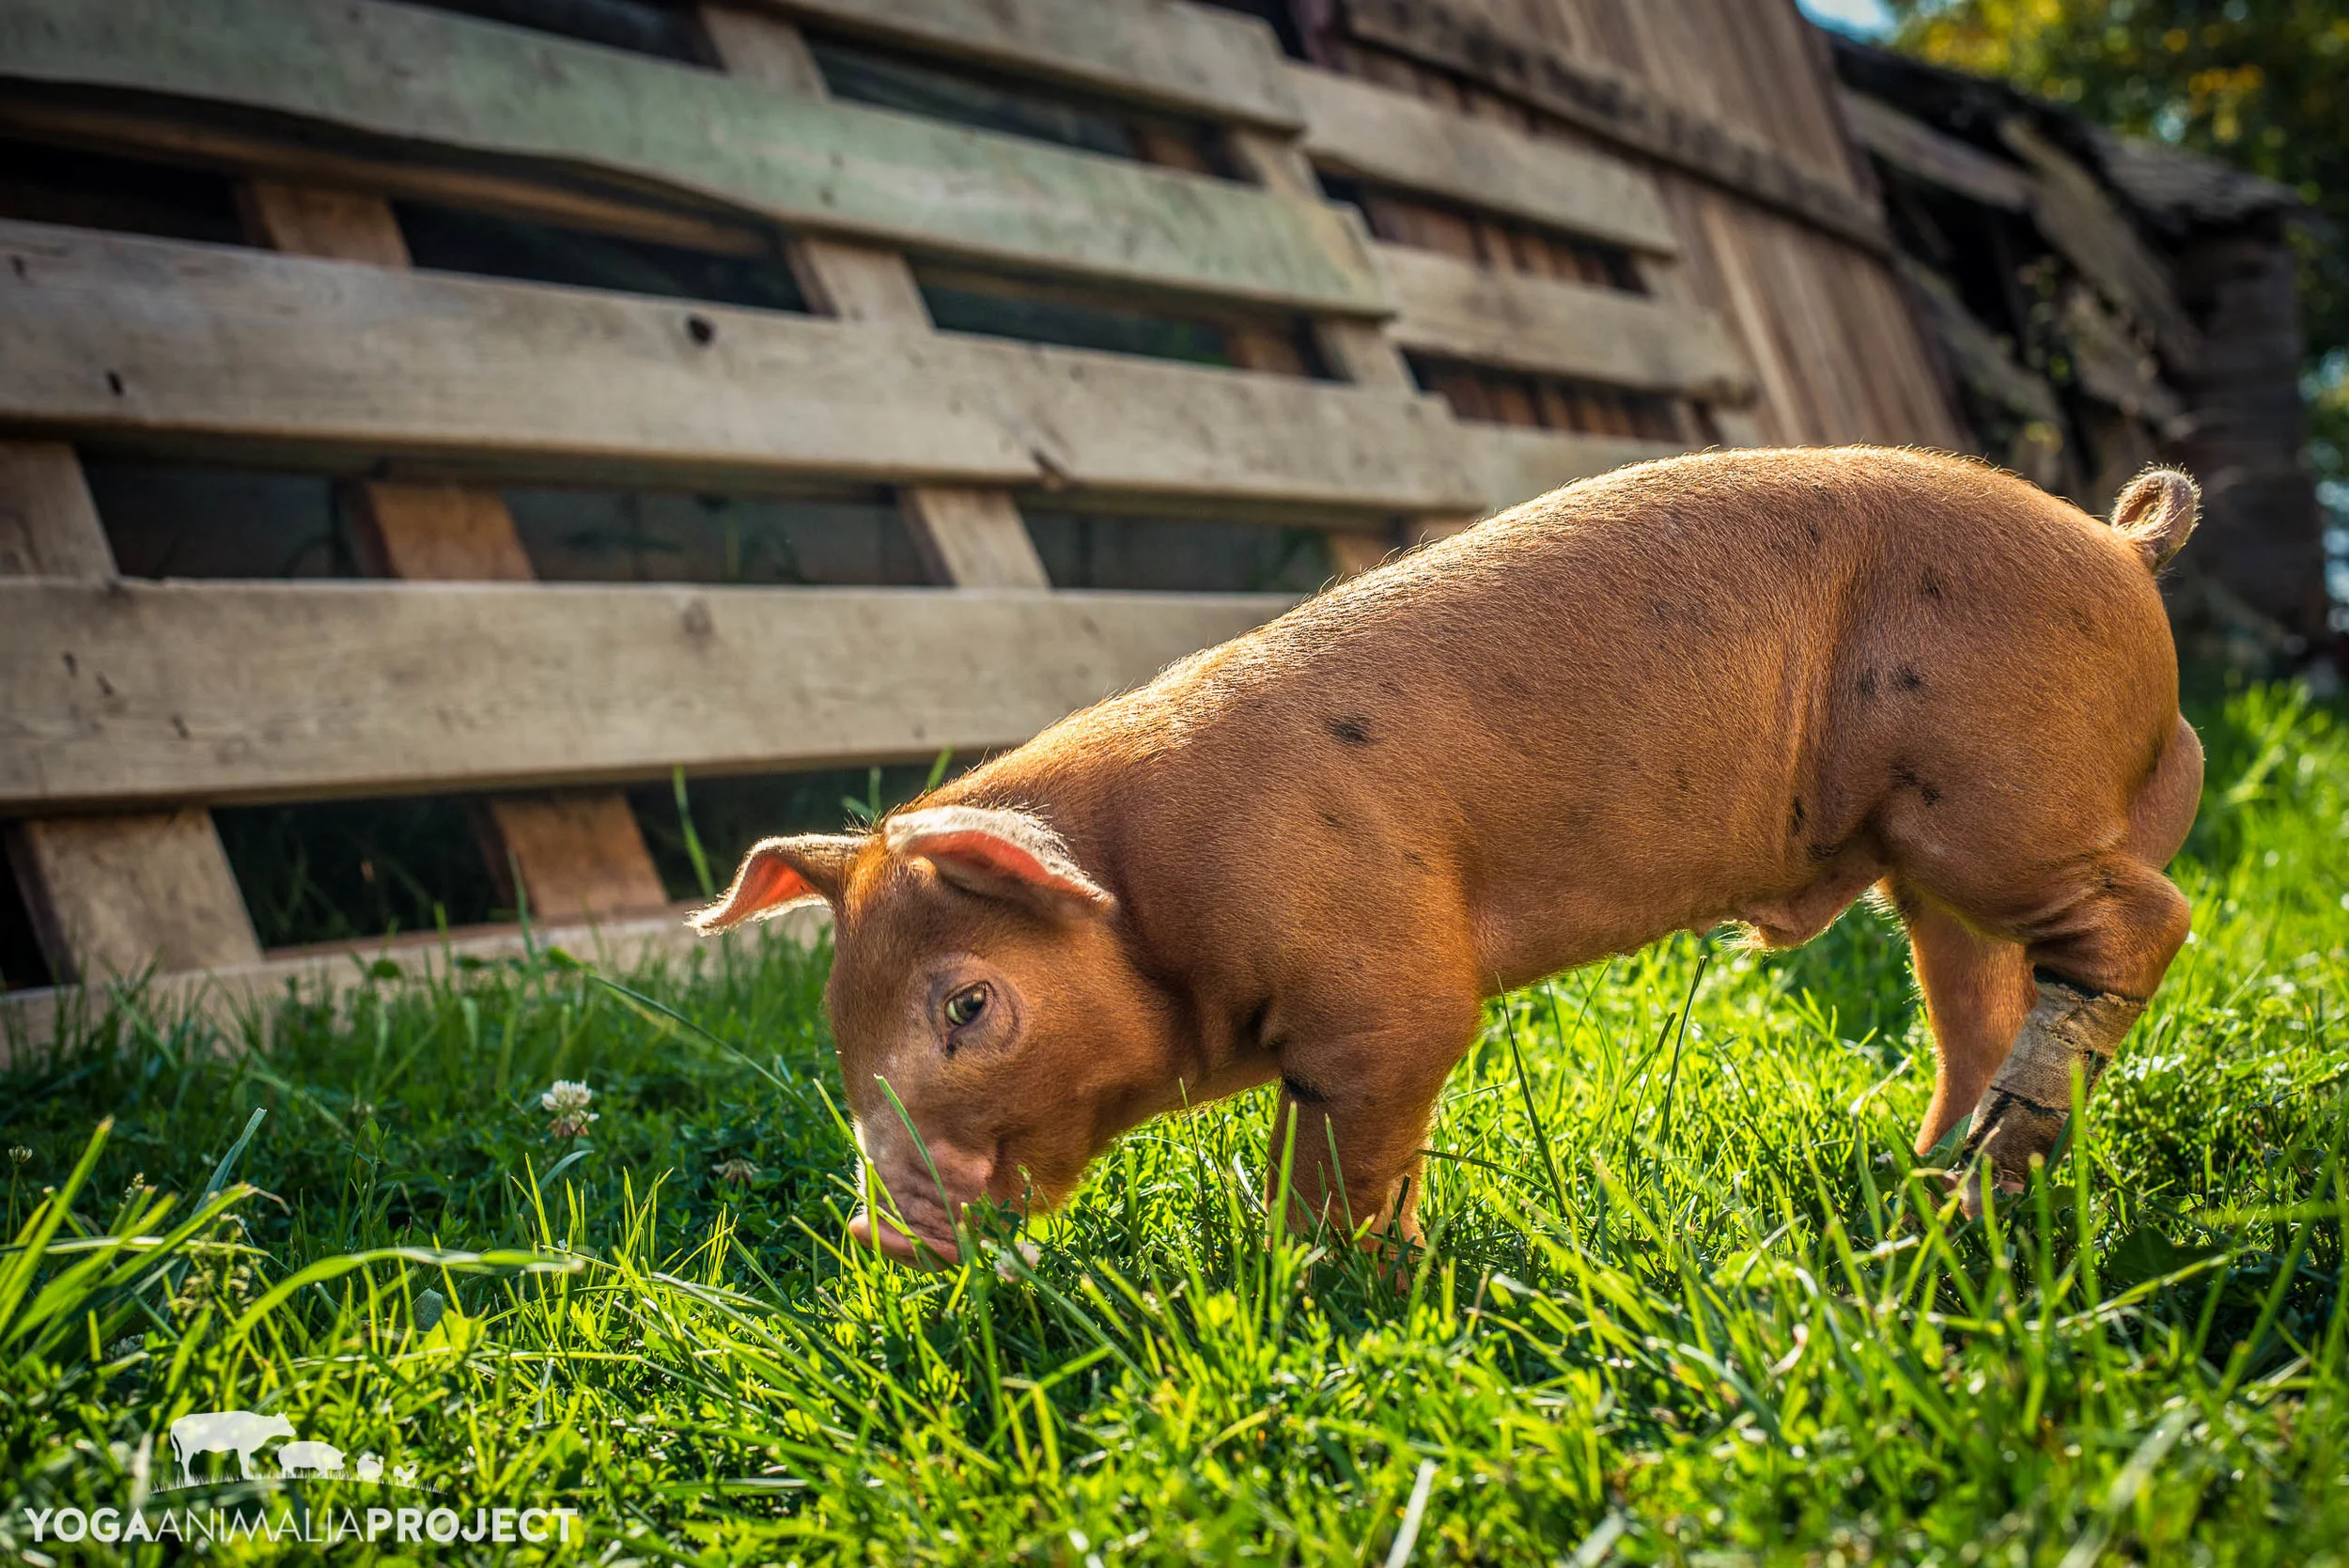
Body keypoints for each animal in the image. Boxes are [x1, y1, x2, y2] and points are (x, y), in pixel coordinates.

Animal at [692, 447, 2203, 1263]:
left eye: (966, 1004)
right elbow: (1327, 1152)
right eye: (838, 1025)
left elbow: (1347, 1158)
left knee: (2149, 921)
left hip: (1990, 795)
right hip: (1930, 855)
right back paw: (1933, 1177)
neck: (1150, 890)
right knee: (1978, 991)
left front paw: (1329, 1284)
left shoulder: (1387, 993)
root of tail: (2123, 546)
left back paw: (1977, 1169)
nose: (877, 1236)